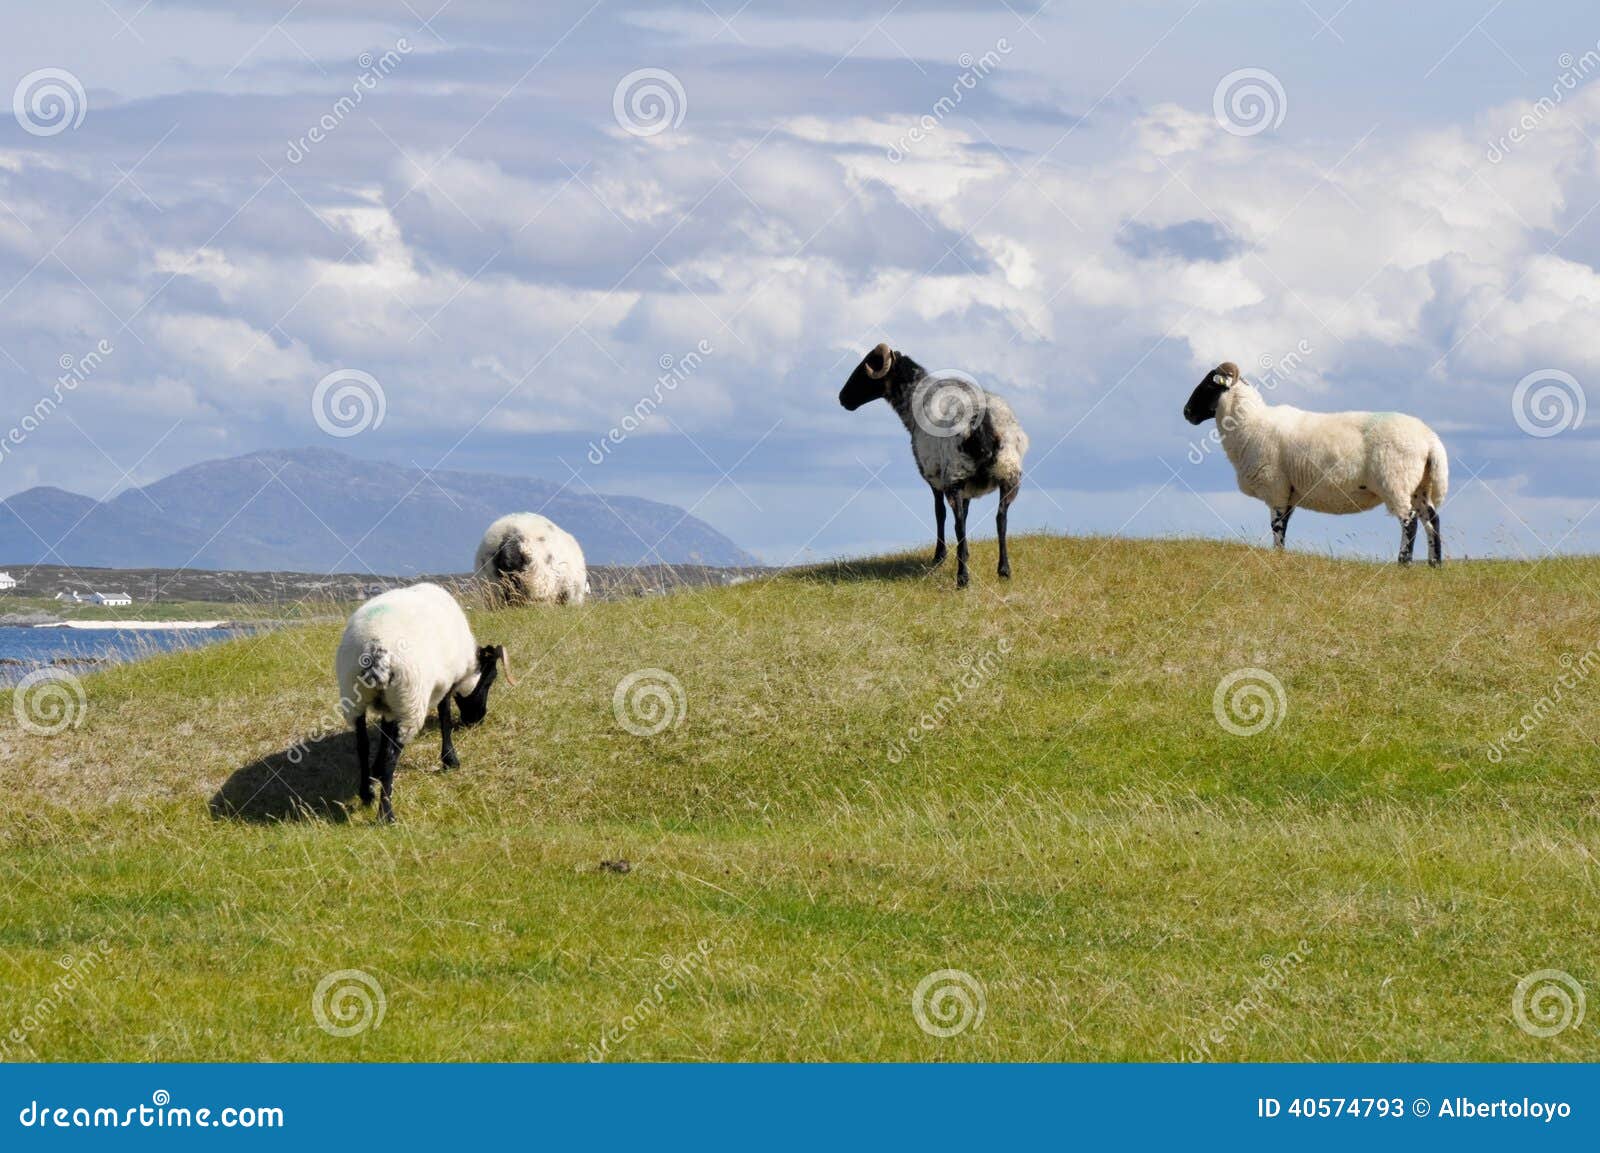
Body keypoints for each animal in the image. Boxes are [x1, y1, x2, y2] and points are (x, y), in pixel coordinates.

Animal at [335, 582, 515, 822]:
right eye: (492, 677)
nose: (477, 720)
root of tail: (376, 651)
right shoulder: (446, 682)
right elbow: (445, 718)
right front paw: (450, 760)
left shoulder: (391, 707)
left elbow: (384, 732)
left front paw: (376, 768)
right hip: (411, 699)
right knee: (392, 756)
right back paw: (386, 814)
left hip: (357, 698)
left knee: (362, 745)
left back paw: (366, 794)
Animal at [839, 343, 1030, 587]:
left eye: (866, 367)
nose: (842, 398)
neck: (914, 397)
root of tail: (983, 423)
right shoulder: (967, 488)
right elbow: (967, 513)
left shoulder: (934, 477)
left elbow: (939, 513)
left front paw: (939, 556)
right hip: (1009, 473)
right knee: (1001, 519)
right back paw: (1004, 570)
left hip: (955, 474)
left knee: (959, 523)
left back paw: (962, 578)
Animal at [1183, 361, 1449, 566]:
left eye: (1209, 384)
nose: (1186, 412)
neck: (1251, 423)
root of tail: (1430, 439)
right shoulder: (1290, 493)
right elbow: (1284, 526)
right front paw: (1282, 556)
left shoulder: (1276, 487)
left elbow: (1276, 526)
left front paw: (1276, 557)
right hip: (1420, 485)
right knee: (1431, 518)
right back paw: (1434, 564)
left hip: (1396, 482)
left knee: (1410, 520)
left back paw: (1403, 563)